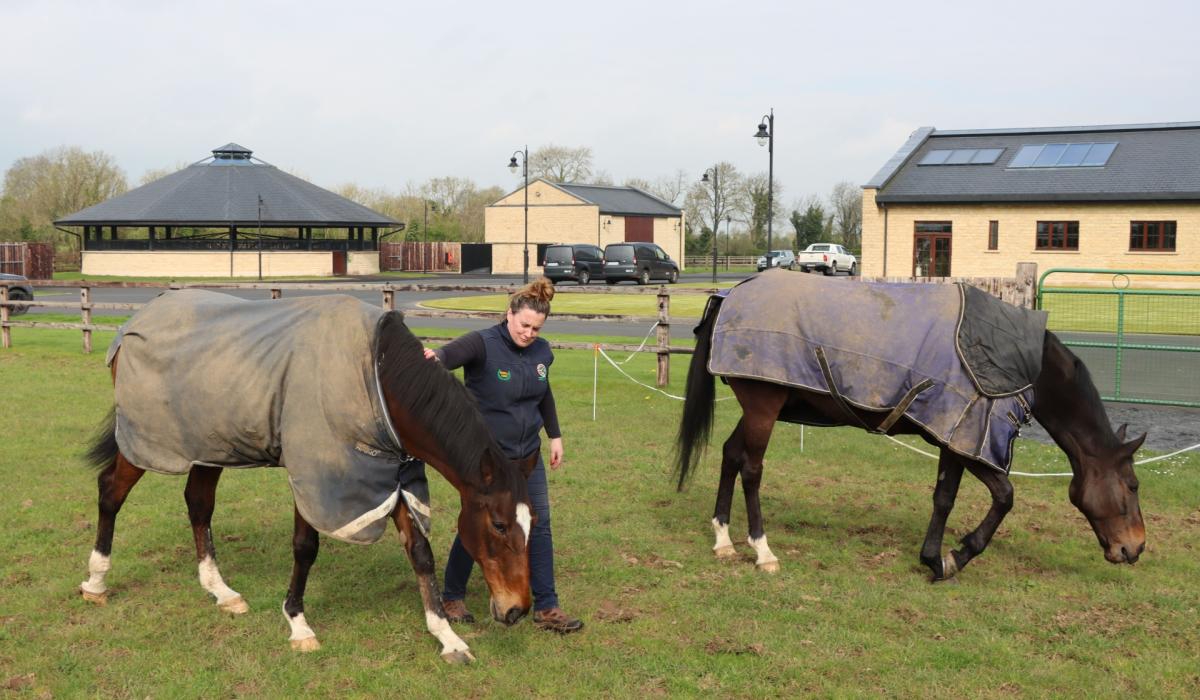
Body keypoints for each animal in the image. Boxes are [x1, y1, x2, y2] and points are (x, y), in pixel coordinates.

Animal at [81, 290, 535, 664]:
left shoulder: (392, 478)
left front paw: (447, 637)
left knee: (198, 503)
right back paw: (96, 581)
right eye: (498, 524)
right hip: (146, 440)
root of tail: (134, 323)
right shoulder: (317, 476)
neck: (378, 376)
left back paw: (221, 591)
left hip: (209, 443)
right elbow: (305, 547)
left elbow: (420, 552)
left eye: (531, 524)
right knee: (111, 490)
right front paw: (298, 623)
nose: (517, 609)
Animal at [674, 271, 1145, 581]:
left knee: (731, 455)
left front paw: (935, 558)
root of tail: (732, 293)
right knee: (752, 469)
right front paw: (958, 555)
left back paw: (723, 541)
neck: (1020, 361)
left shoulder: (954, 437)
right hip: (763, 406)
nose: (1135, 547)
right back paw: (762, 550)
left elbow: (944, 497)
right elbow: (1004, 496)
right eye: (1133, 484)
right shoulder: (970, 437)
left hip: (759, 408)